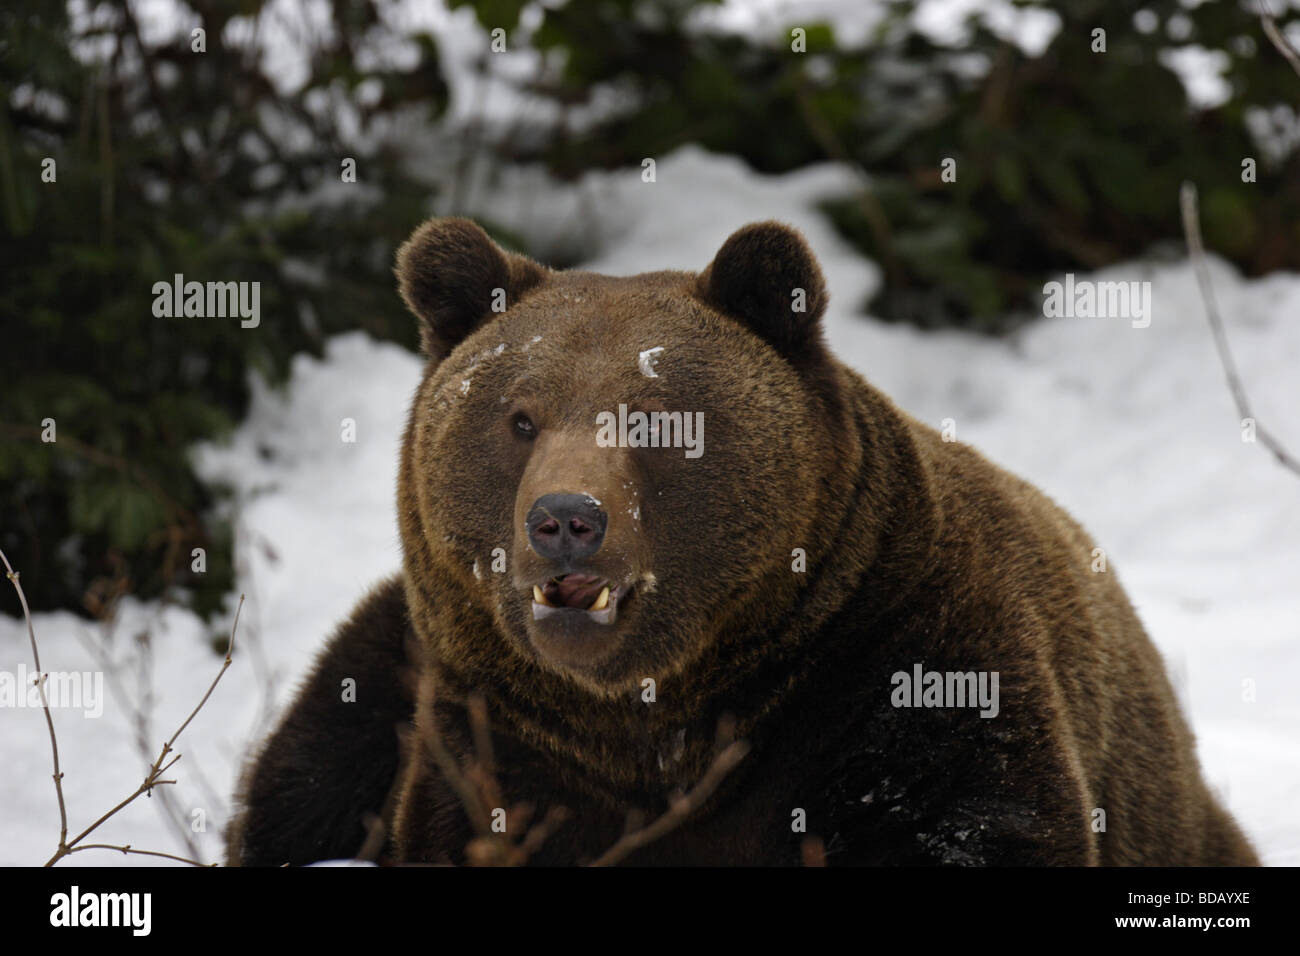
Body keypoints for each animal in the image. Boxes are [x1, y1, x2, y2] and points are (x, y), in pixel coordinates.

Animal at [226, 218, 1259, 866]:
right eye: (518, 418)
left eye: (658, 421)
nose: (565, 519)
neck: (667, 714)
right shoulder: (499, 735)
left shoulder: (902, 668)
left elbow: (977, 821)